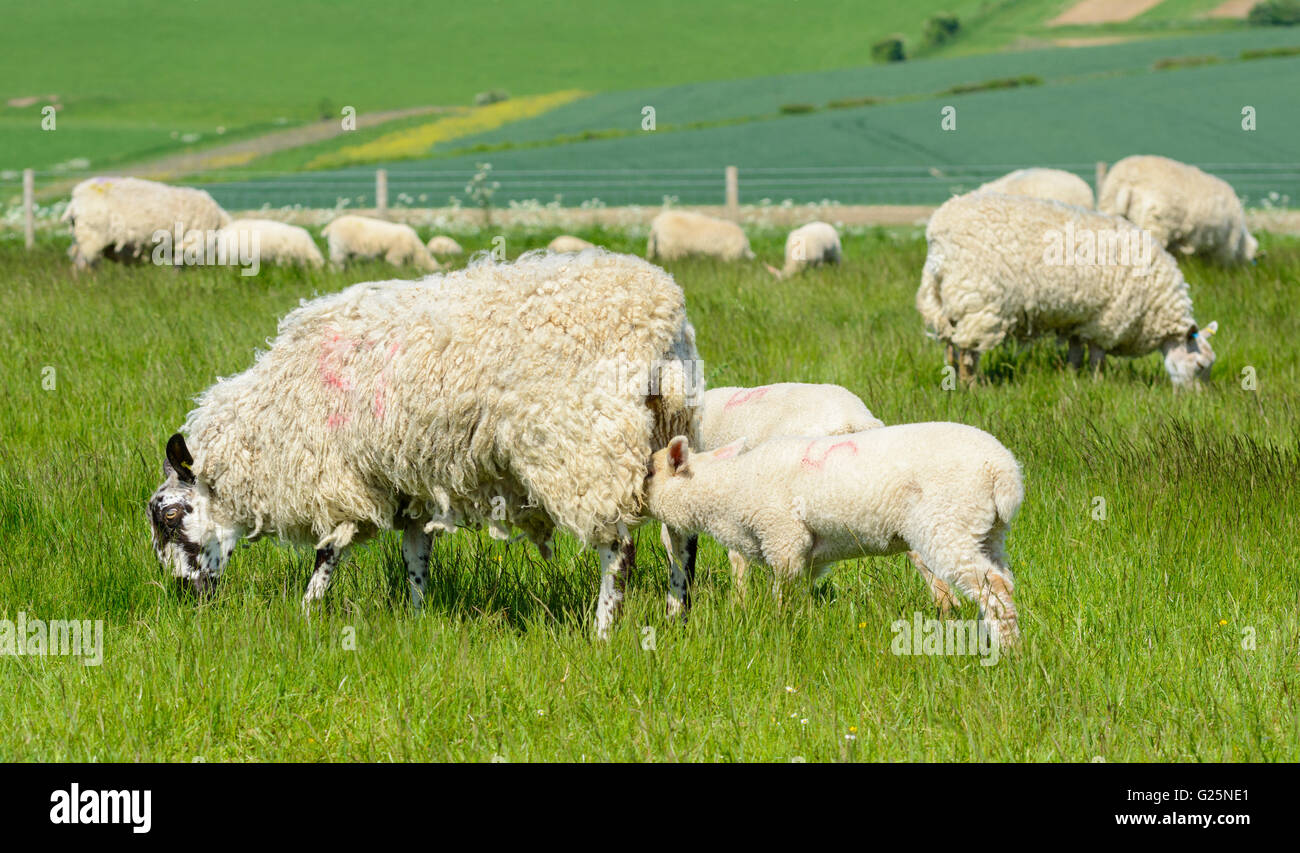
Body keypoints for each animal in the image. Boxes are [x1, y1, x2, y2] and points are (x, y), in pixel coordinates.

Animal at [60, 176, 230, 268]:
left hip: (83, 236)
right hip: (92, 237)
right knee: (86, 265)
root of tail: (75, 200)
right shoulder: (192, 239)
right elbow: (179, 263)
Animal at [146, 250, 704, 638]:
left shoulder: (343, 481)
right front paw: (416, 621)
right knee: (682, 535)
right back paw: (676, 616)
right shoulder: (406, 487)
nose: (186, 594)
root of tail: (664, 317)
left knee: (620, 547)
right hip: (670, 432)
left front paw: (306, 614)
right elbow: (416, 559)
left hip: (585, 444)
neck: (269, 424)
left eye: (171, 516)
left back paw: (604, 630)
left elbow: (328, 553)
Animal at [645, 423, 1025, 646]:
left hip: (949, 523)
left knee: (994, 587)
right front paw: (801, 627)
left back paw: (1007, 652)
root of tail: (1004, 472)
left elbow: (783, 598)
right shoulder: (808, 555)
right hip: (986, 531)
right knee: (1003, 581)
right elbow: (800, 597)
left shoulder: (784, 538)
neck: (730, 489)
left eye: (649, 472)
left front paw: (780, 631)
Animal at [916, 192, 1219, 387]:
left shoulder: (1080, 317)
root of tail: (937, 231)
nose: (1195, 400)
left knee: (951, 344)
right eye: (1200, 366)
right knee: (967, 349)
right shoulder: (1106, 320)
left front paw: (1073, 377)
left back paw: (954, 380)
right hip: (978, 298)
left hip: (950, 297)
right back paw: (972, 386)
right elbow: (1097, 358)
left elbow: (1075, 352)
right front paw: (1098, 383)